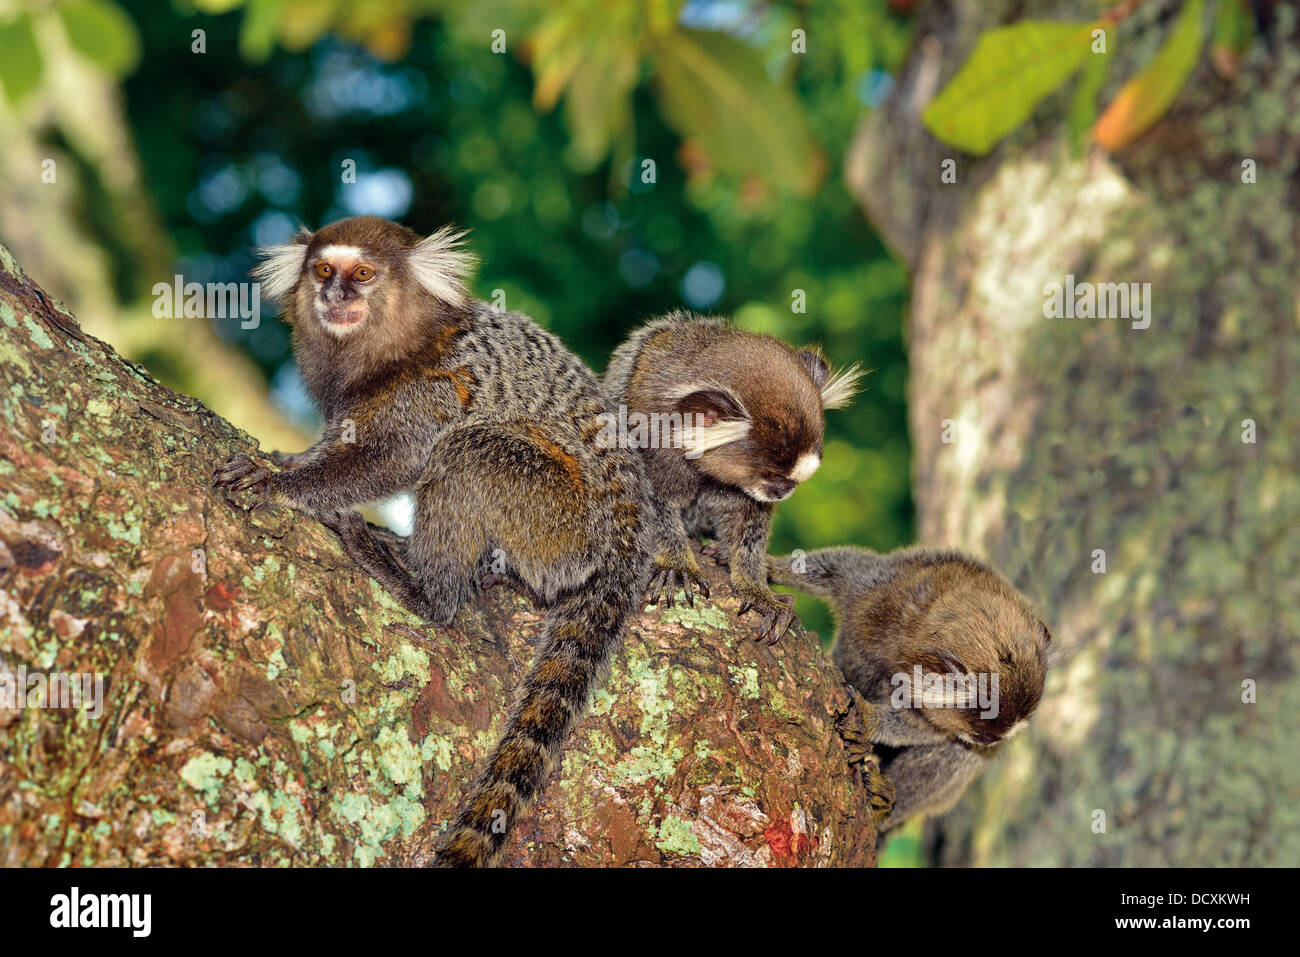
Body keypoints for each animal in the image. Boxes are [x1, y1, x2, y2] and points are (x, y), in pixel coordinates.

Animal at [212, 215, 652, 867]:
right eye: (324, 270)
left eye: (362, 274)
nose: (334, 295)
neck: (391, 351)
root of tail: (627, 548)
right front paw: (289, 460)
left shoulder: (429, 390)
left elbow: (393, 459)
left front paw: (278, 484)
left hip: (561, 520)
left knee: (467, 452)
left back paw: (422, 588)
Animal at [602, 312, 861, 642]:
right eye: (772, 475)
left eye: (793, 480)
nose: (783, 492)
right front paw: (675, 561)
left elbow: (749, 521)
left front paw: (755, 586)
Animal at [767, 545, 1052, 837]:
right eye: (981, 734)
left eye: (988, 737)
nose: (988, 743)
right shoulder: (879, 593)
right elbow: (836, 570)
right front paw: (771, 570)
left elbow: (927, 731)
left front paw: (870, 723)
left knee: (959, 756)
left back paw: (884, 804)